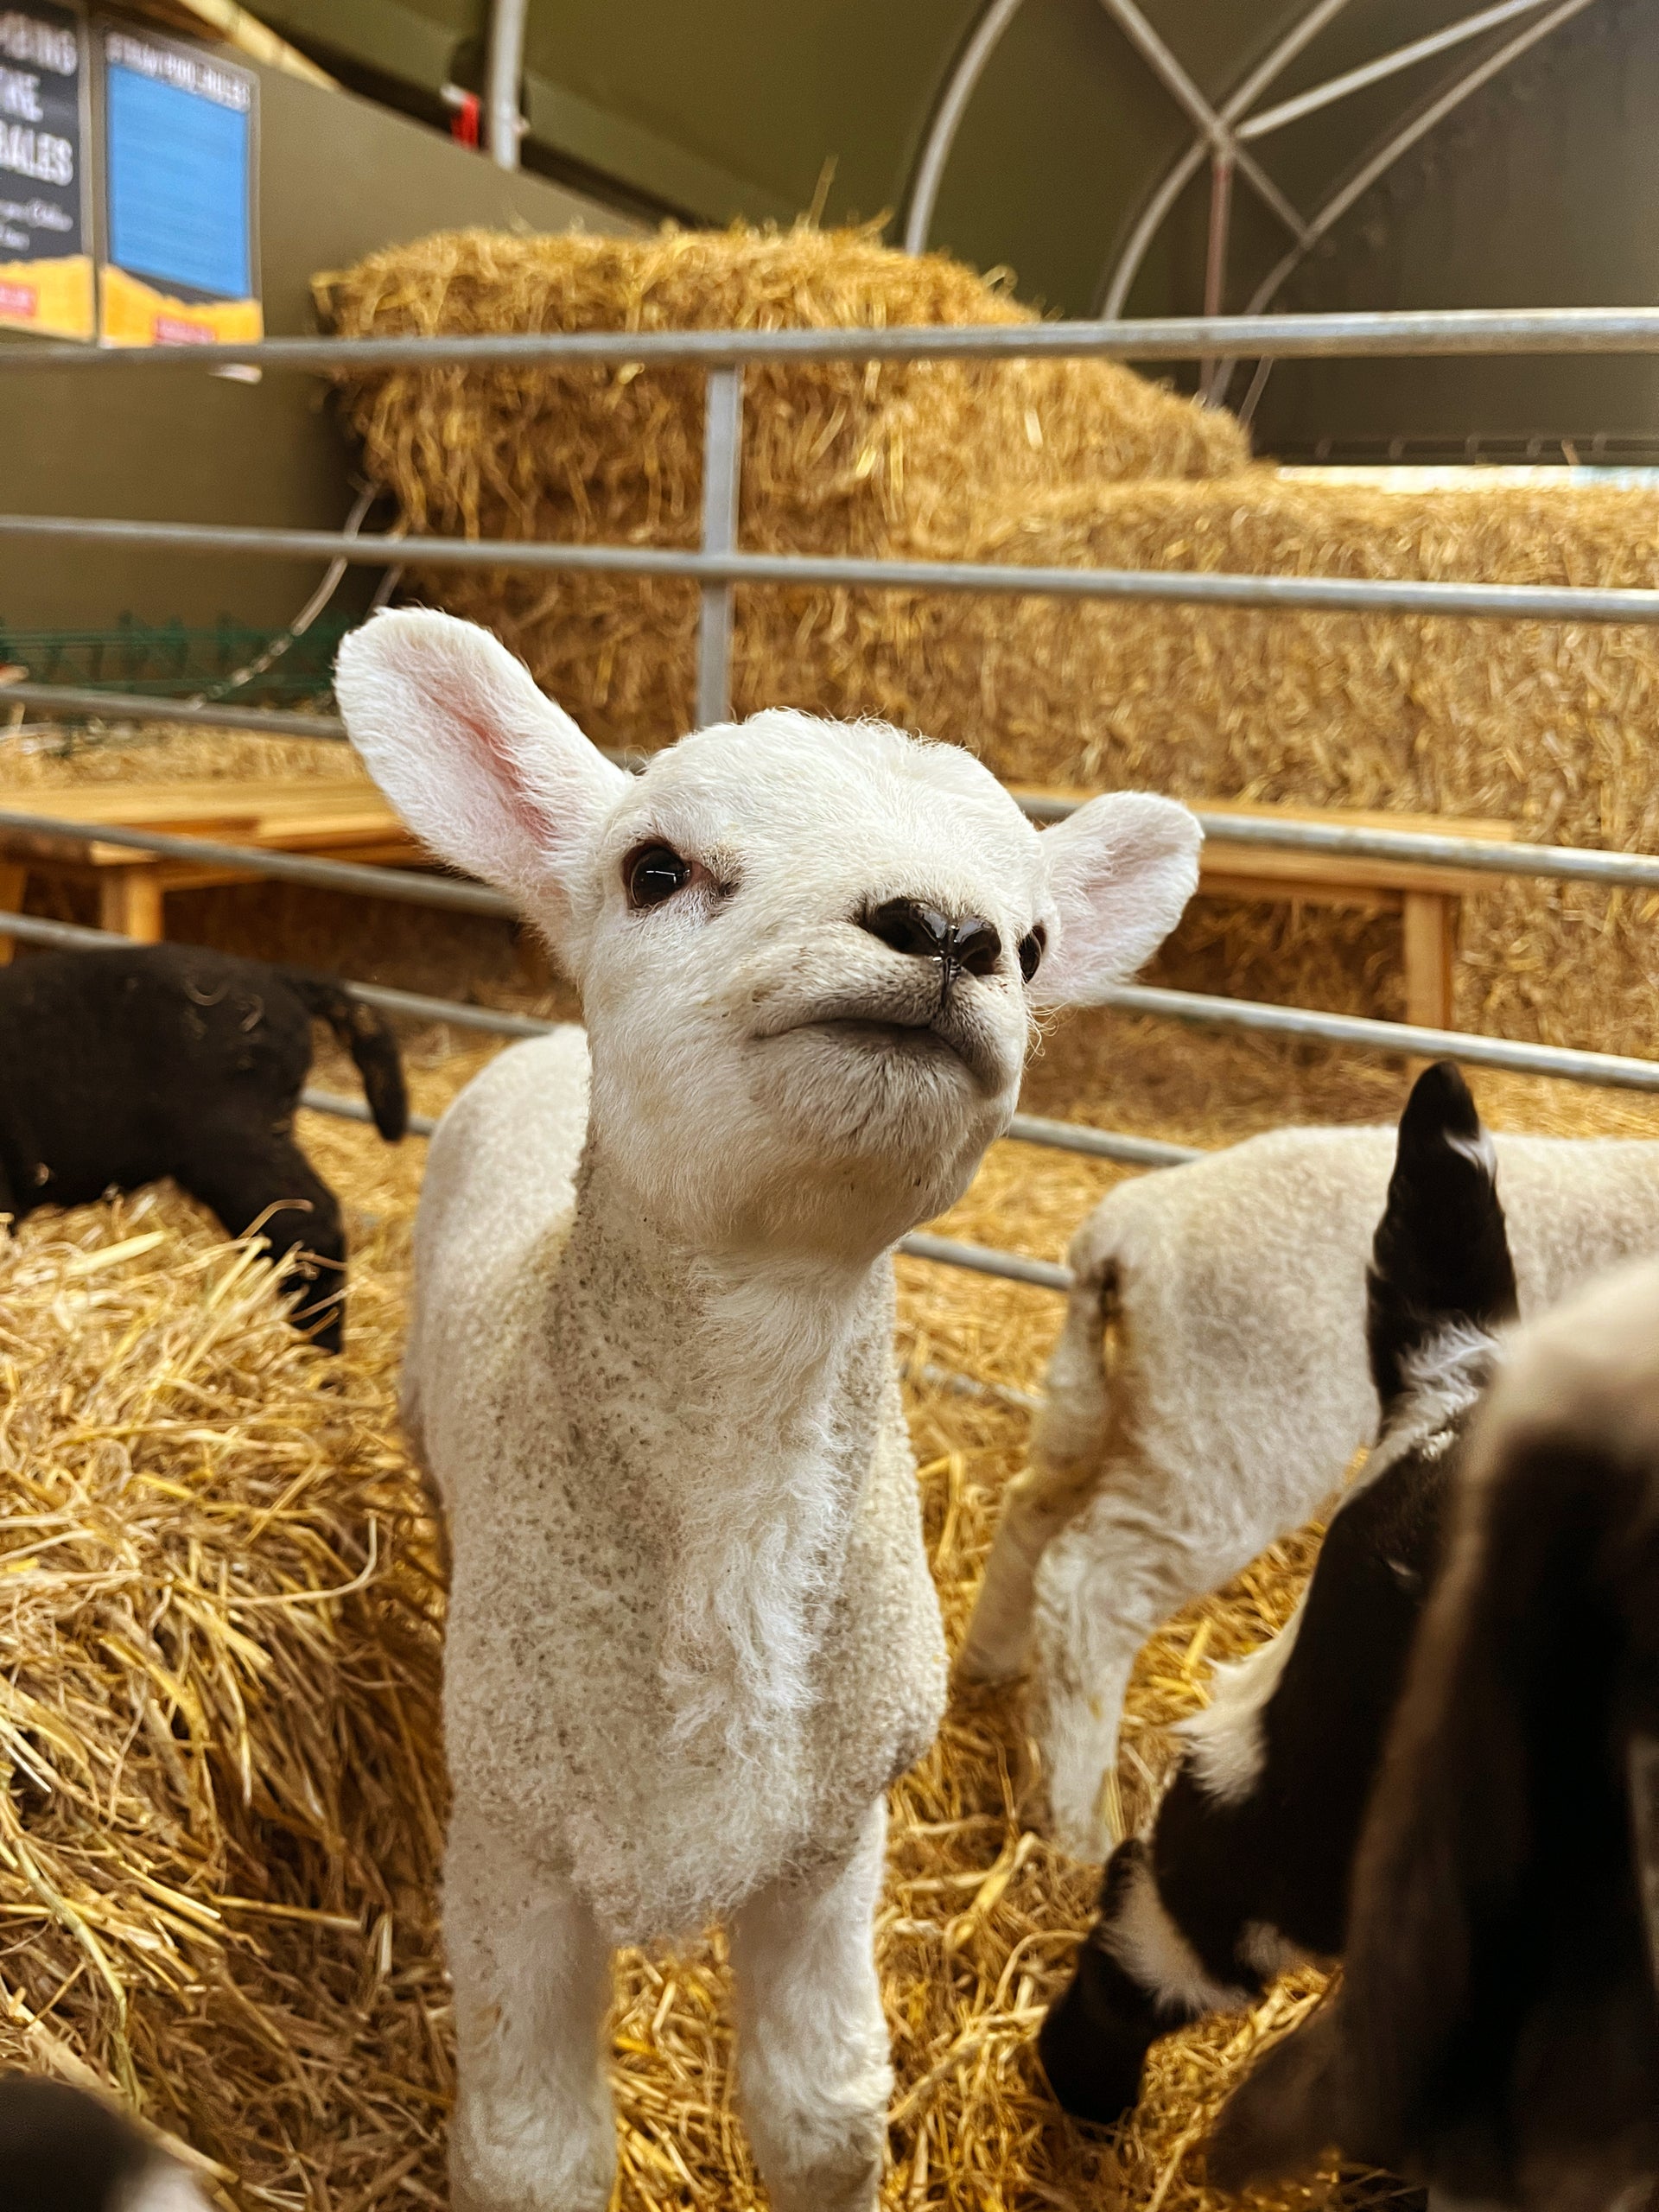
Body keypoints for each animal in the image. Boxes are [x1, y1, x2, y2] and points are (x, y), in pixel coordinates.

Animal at [332, 605, 1202, 2212]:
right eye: (655, 869)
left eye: (1037, 944)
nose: (944, 932)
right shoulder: (515, 1853)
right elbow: (535, 2158)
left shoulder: (833, 1838)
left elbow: (823, 2117)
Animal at [960, 1106, 1659, 1859]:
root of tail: (1126, 1226)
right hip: (1243, 1433)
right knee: (1092, 1589)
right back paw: (1076, 1826)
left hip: (1150, 1405)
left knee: (1035, 1507)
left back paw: (988, 1672)